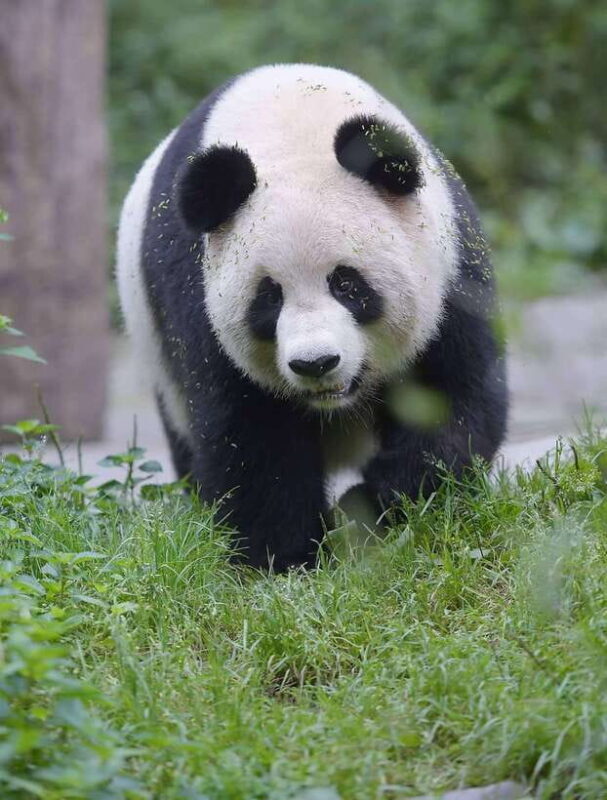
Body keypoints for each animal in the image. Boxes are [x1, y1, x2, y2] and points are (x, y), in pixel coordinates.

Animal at [117, 63, 508, 570]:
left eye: (346, 285)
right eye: (269, 298)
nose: (316, 363)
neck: (290, 126)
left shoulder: (449, 269)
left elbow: (451, 399)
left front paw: (373, 507)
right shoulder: (196, 292)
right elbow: (249, 432)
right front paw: (285, 558)